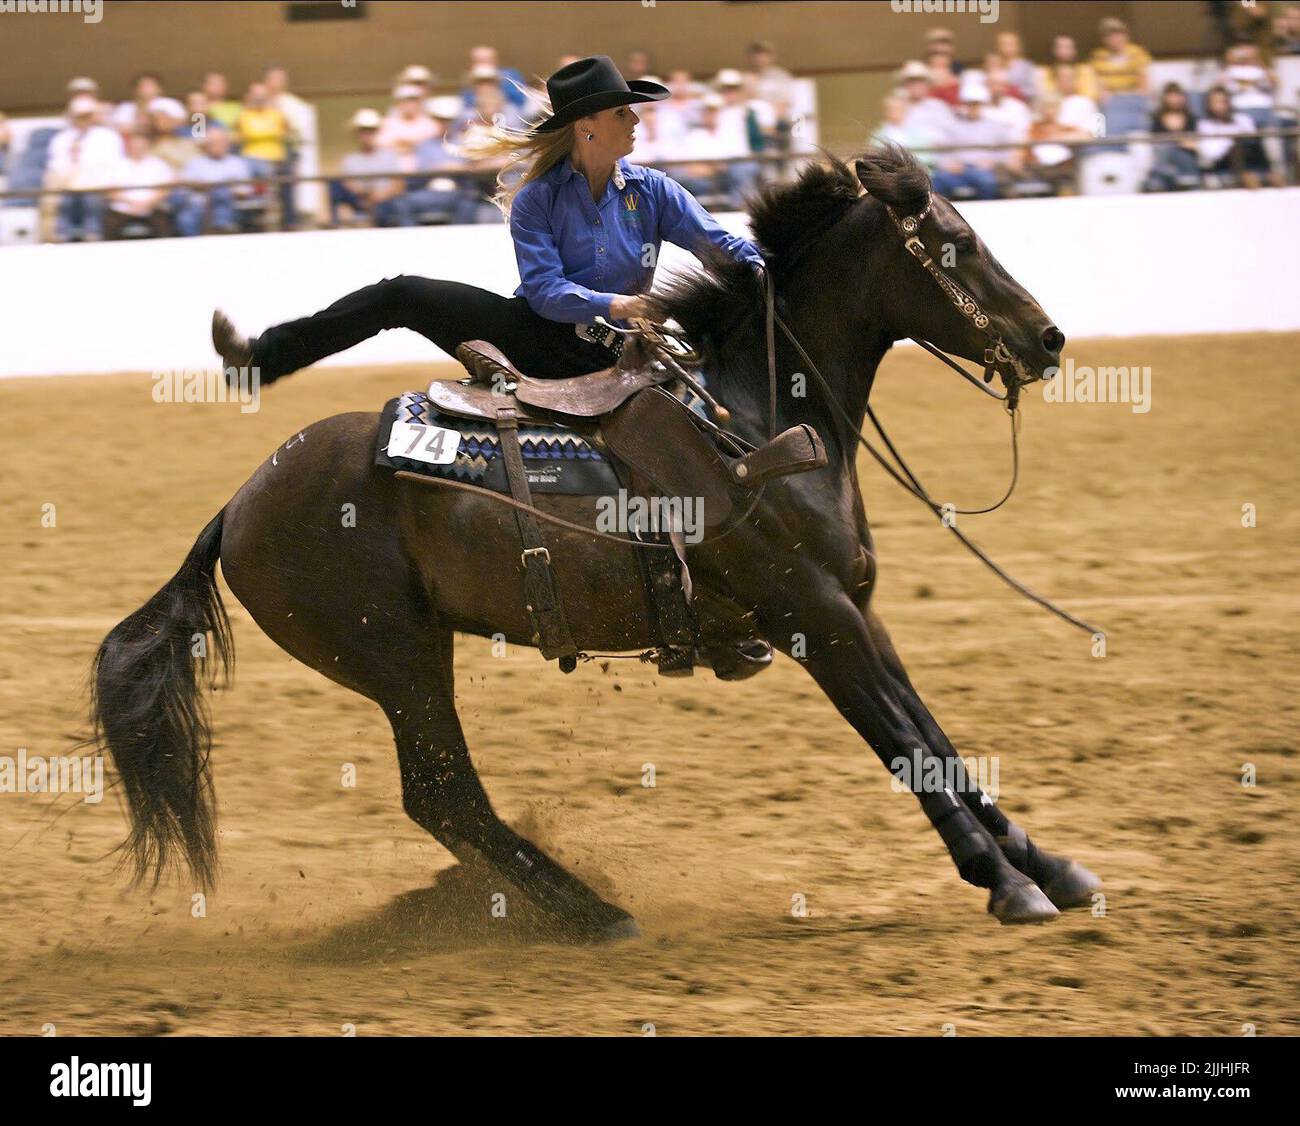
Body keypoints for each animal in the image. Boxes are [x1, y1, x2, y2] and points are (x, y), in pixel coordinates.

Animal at [89, 145, 1100, 938]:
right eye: (958, 247)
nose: (1048, 338)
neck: (753, 418)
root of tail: (239, 505)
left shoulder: (856, 610)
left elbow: (931, 732)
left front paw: (1047, 865)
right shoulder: (810, 614)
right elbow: (901, 741)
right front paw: (1003, 882)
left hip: (407, 658)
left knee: (445, 800)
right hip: (400, 661)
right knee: (446, 796)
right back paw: (593, 913)